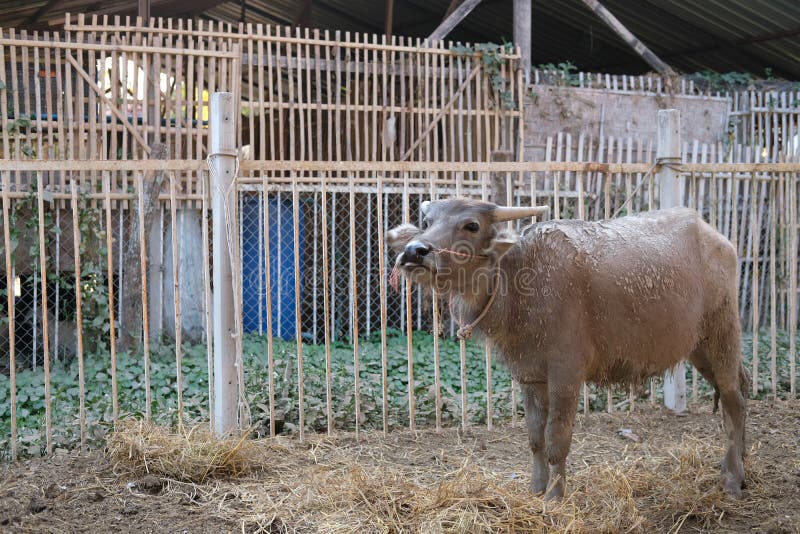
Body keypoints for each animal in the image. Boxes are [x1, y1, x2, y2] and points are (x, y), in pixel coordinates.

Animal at [387, 199, 748, 500]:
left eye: (471, 224)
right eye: (428, 220)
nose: (415, 251)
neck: (519, 285)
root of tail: (719, 240)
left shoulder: (566, 375)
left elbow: (556, 438)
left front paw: (554, 496)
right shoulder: (530, 376)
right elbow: (535, 438)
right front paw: (535, 489)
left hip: (723, 333)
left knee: (734, 398)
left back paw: (733, 479)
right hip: (698, 348)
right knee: (738, 389)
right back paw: (739, 464)